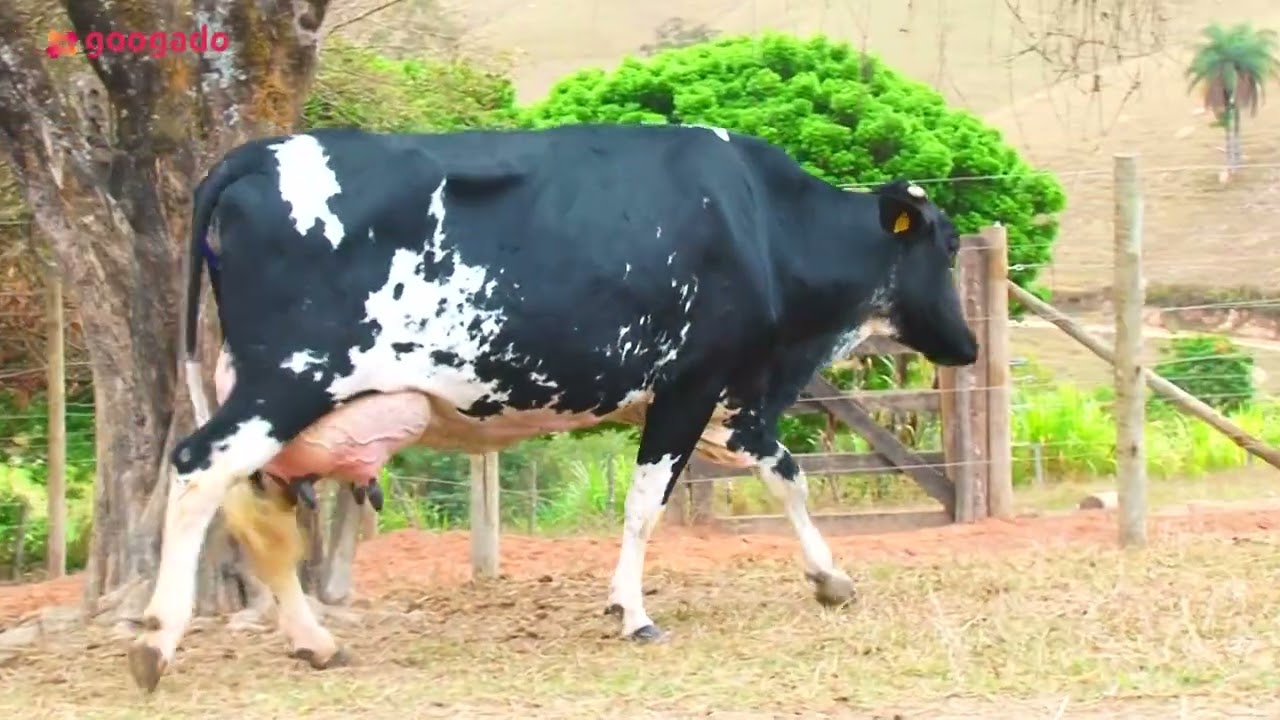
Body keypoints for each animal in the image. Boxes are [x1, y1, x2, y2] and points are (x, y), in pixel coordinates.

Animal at [127, 122, 978, 693]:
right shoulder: (691, 386)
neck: (758, 217)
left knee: (259, 509)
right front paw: (631, 611)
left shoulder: (733, 401)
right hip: (290, 380)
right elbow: (645, 506)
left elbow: (787, 475)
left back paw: (312, 640)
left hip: (284, 395)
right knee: (199, 470)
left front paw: (831, 579)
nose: (969, 345)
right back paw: (156, 641)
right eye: (946, 246)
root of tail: (255, 153)